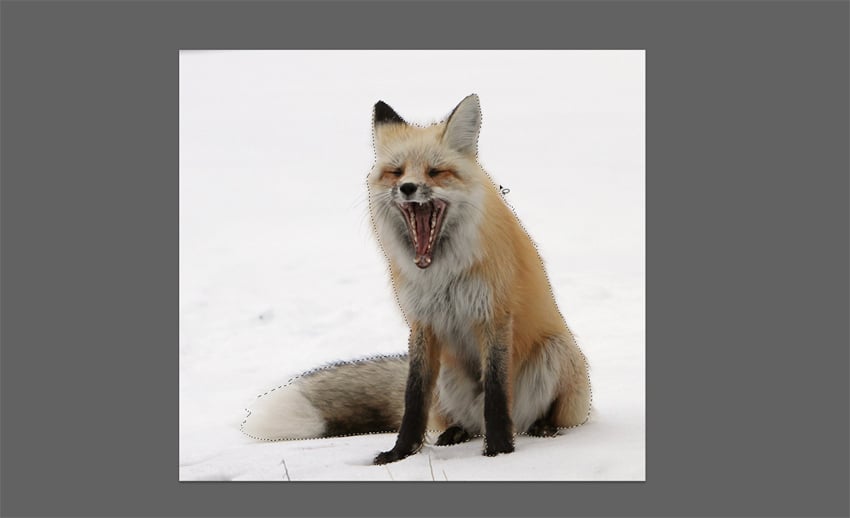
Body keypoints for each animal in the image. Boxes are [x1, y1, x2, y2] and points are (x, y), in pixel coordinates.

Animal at [241, 94, 591, 464]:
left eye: (435, 172)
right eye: (396, 172)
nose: (407, 187)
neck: (442, 275)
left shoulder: (493, 315)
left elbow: (496, 395)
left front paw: (499, 451)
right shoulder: (423, 322)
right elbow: (413, 397)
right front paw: (400, 453)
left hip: (556, 352)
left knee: (531, 415)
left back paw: (542, 426)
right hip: (448, 378)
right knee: (459, 420)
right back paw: (456, 432)